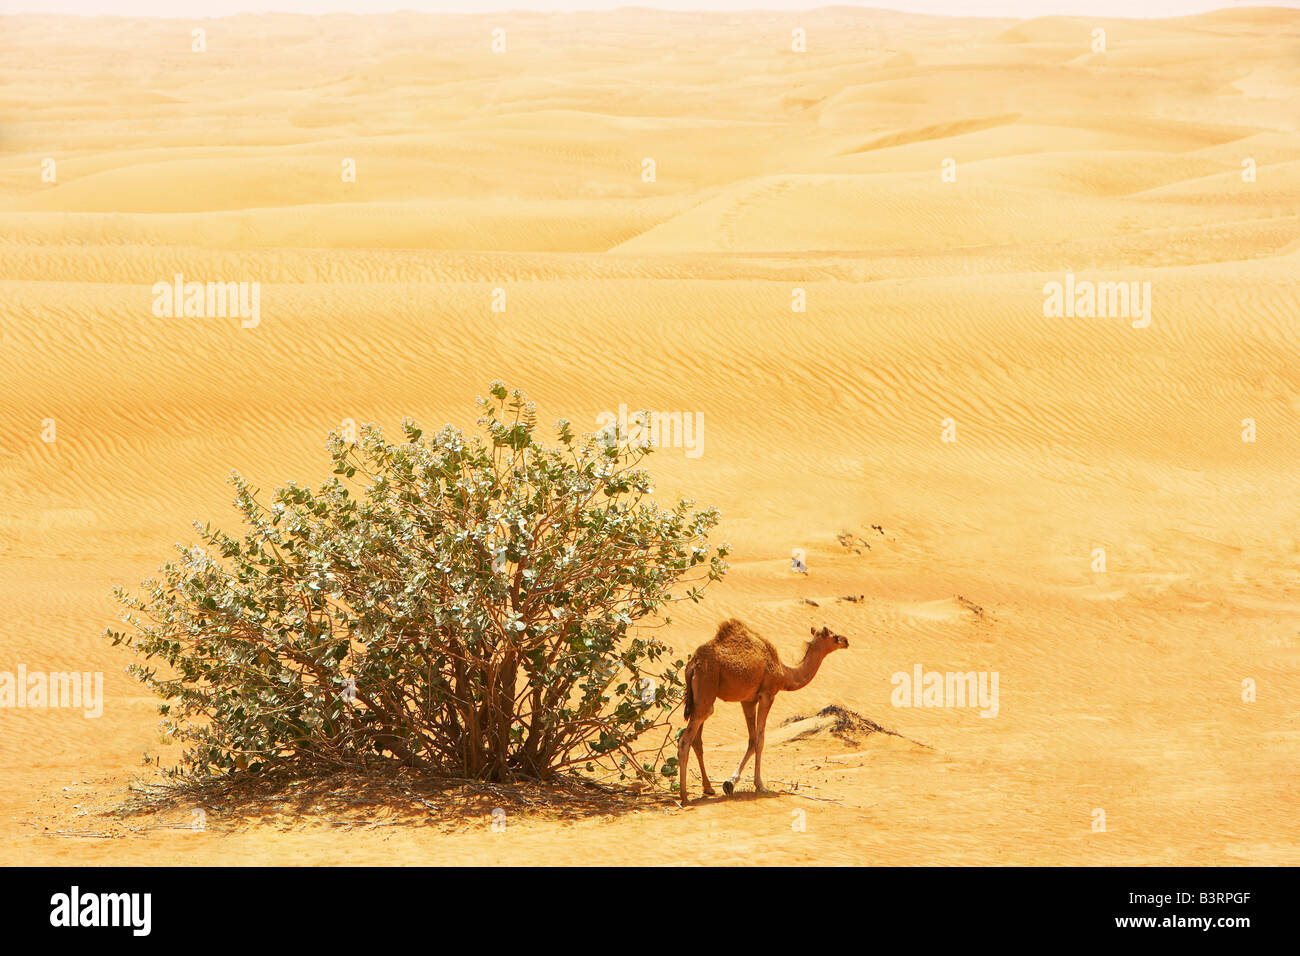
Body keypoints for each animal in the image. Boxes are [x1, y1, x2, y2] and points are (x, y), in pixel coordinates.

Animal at [677, 619, 849, 804]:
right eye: (834, 636)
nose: (846, 640)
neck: (784, 674)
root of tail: (692, 666)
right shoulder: (767, 694)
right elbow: (760, 740)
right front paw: (759, 785)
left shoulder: (748, 700)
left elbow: (752, 740)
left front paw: (730, 783)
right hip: (706, 691)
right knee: (685, 740)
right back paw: (684, 797)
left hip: (701, 699)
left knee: (697, 740)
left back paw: (708, 788)